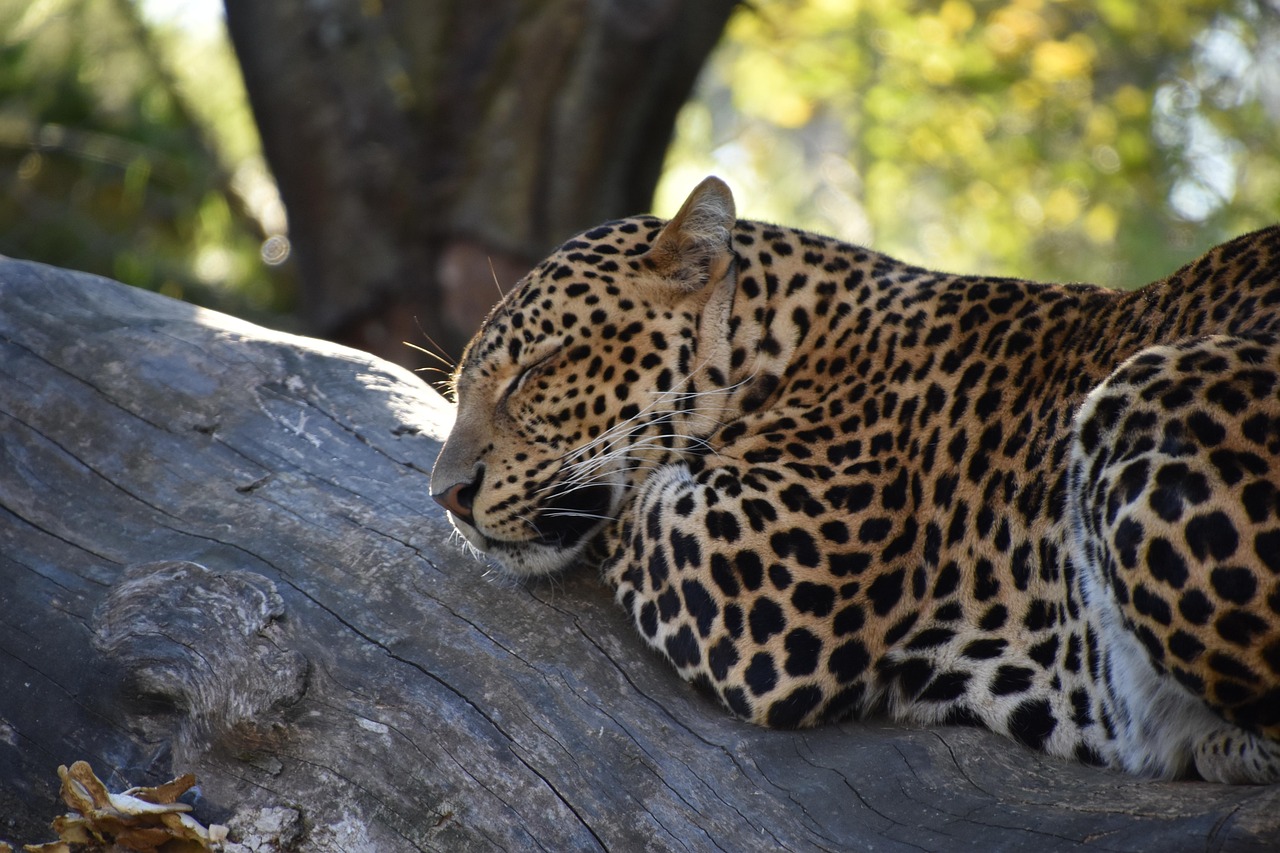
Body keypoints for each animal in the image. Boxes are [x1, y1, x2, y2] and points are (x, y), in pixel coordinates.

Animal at [431, 176, 1280, 783]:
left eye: (536, 370)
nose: (446, 496)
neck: (786, 340)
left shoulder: (758, 573)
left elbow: (632, 496)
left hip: (1154, 387)